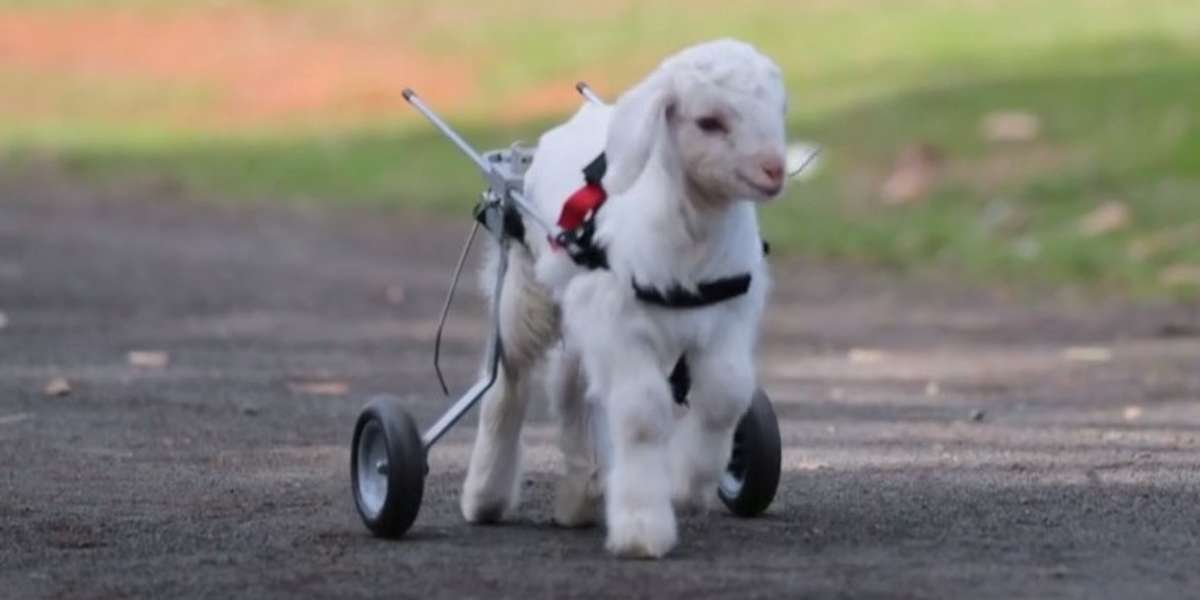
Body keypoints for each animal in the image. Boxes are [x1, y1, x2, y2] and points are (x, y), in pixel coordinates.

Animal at [459, 38, 789, 558]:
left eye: (779, 109)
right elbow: (641, 414)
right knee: (507, 384)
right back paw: (485, 497)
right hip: (527, 288)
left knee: (573, 387)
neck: (692, 238)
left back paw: (582, 497)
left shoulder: (729, 316)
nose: (774, 170)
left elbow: (726, 393)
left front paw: (689, 484)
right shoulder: (621, 324)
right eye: (708, 122)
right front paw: (641, 528)